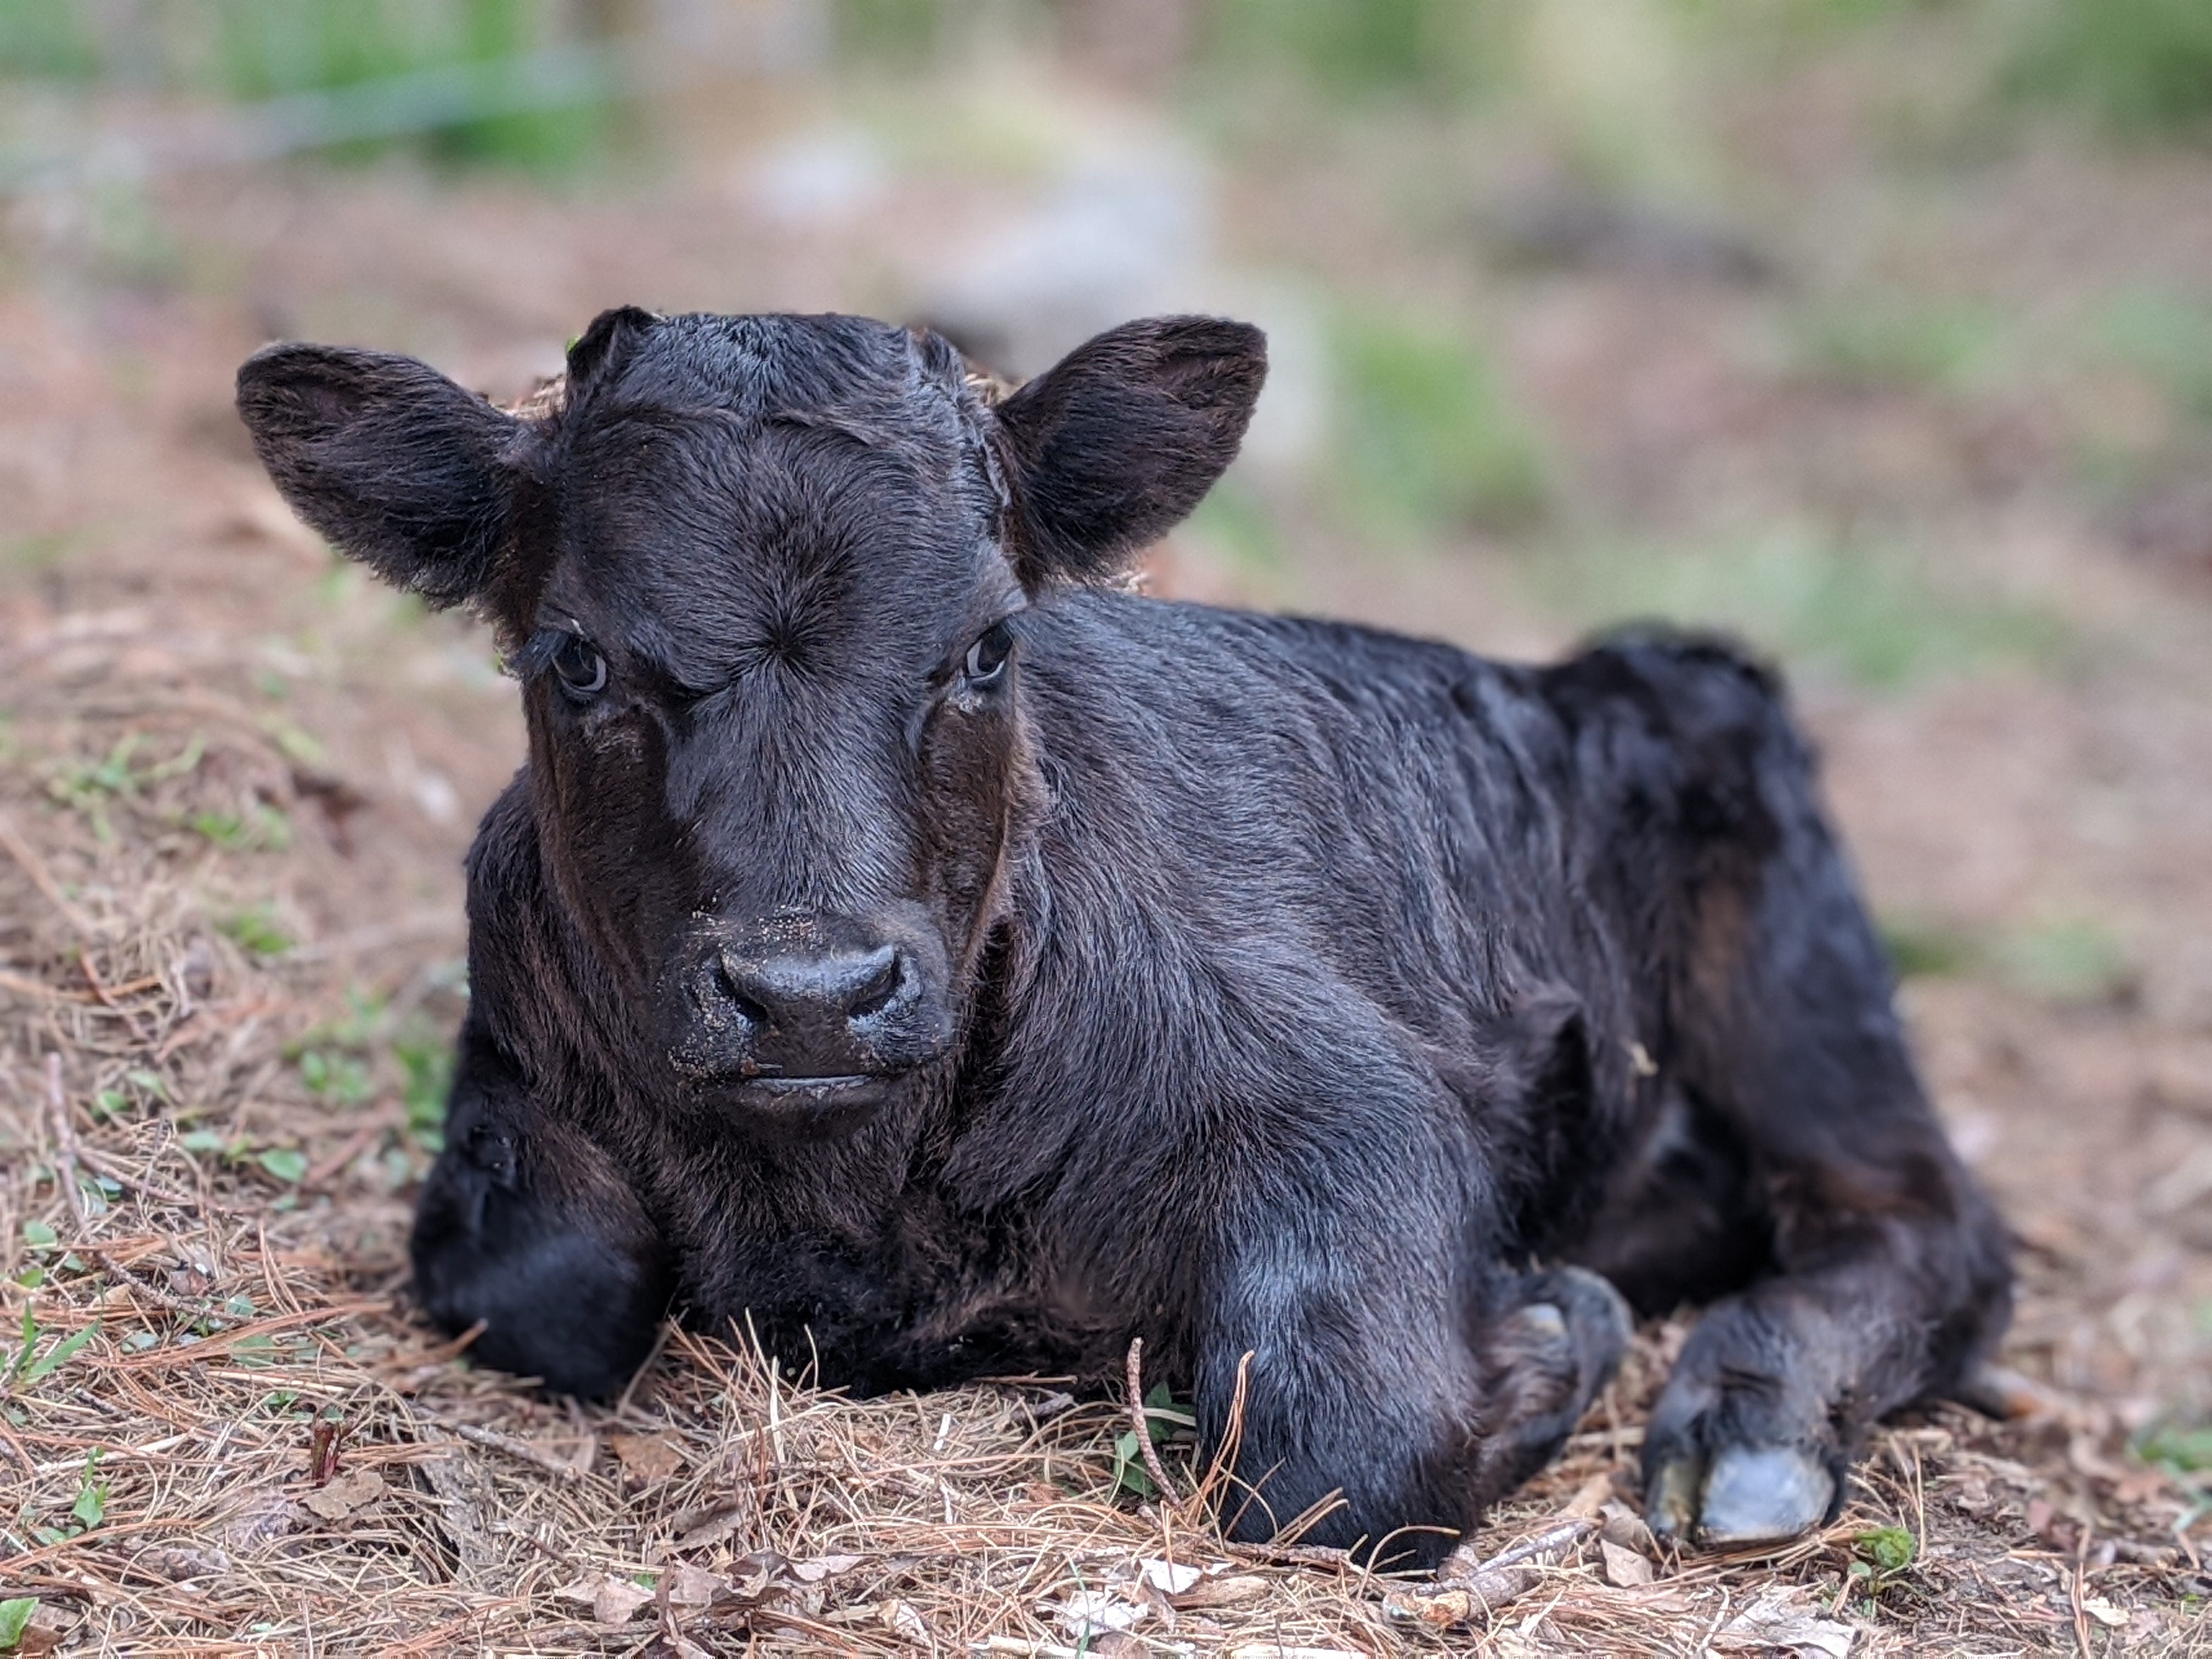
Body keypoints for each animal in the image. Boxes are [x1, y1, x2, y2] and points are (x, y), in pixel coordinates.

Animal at [235, 310, 2012, 1567]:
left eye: (988, 649)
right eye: (579, 659)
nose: (809, 996)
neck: (844, 1209)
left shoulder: (1363, 1110)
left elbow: (1335, 1456)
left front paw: (1547, 1328)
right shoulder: (514, 1070)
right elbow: (524, 1282)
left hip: (1796, 989)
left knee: (1931, 1222)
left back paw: (1750, 1430)